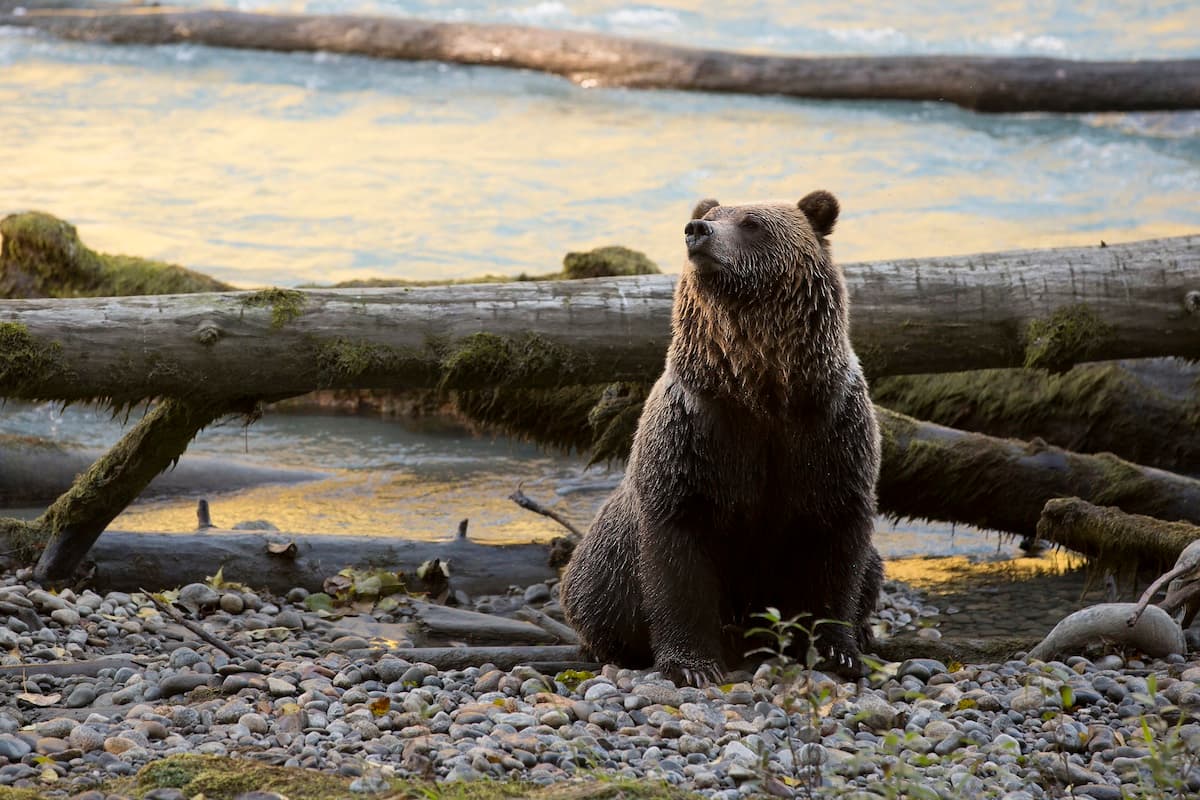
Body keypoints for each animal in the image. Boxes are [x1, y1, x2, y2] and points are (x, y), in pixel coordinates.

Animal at [559, 190, 883, 685]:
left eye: (751, 222)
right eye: (711, 216)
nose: (697, 231)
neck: (761, 389)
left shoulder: (828, 430)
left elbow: (836, 549)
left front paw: (838, 651)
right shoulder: (696, 434)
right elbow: (679, 563)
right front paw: (691, 665)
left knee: (872, 569)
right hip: (604, 563)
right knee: (593, 596)